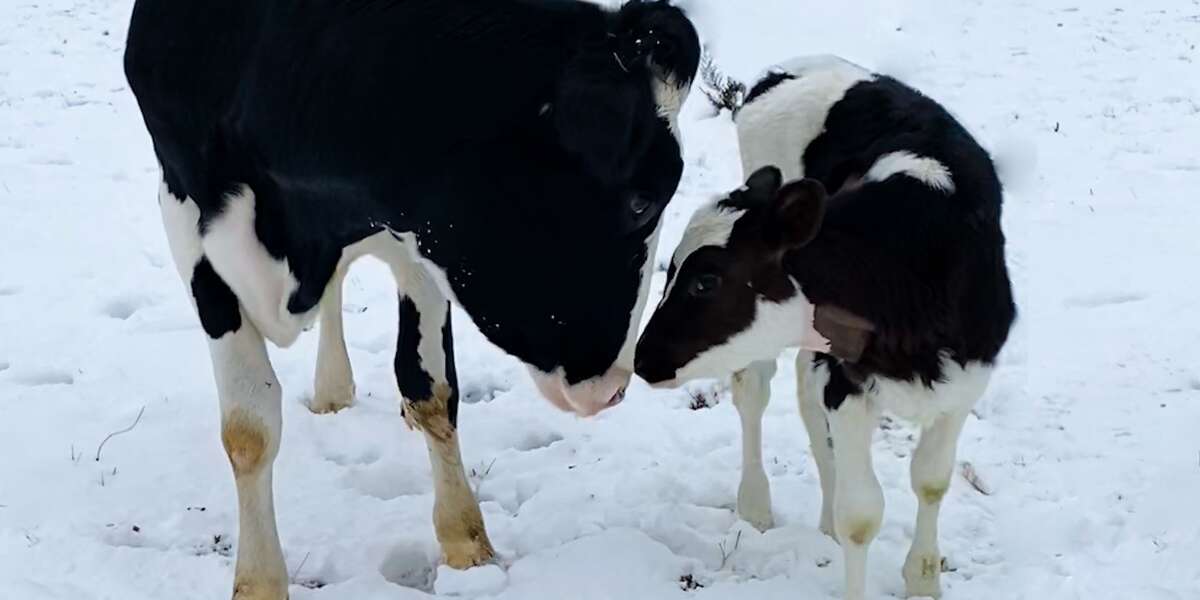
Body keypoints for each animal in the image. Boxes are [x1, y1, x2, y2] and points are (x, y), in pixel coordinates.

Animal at [123, 0, 700, 597]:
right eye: (641, 201)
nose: (612, 388)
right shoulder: (187, 216)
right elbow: (249, 428)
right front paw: (259, 581)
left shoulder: (416, 230)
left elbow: (430, 390)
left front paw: (465, 543)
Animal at [634, 56, 1016, 600]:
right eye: (670, 272)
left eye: (705, 282)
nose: (643, 358)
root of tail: (791, 70)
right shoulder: (847, 380)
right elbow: (861, 516)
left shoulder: (965, 383)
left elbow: (931, 480)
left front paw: (922, 578)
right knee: (754, 389)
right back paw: (756, 504)